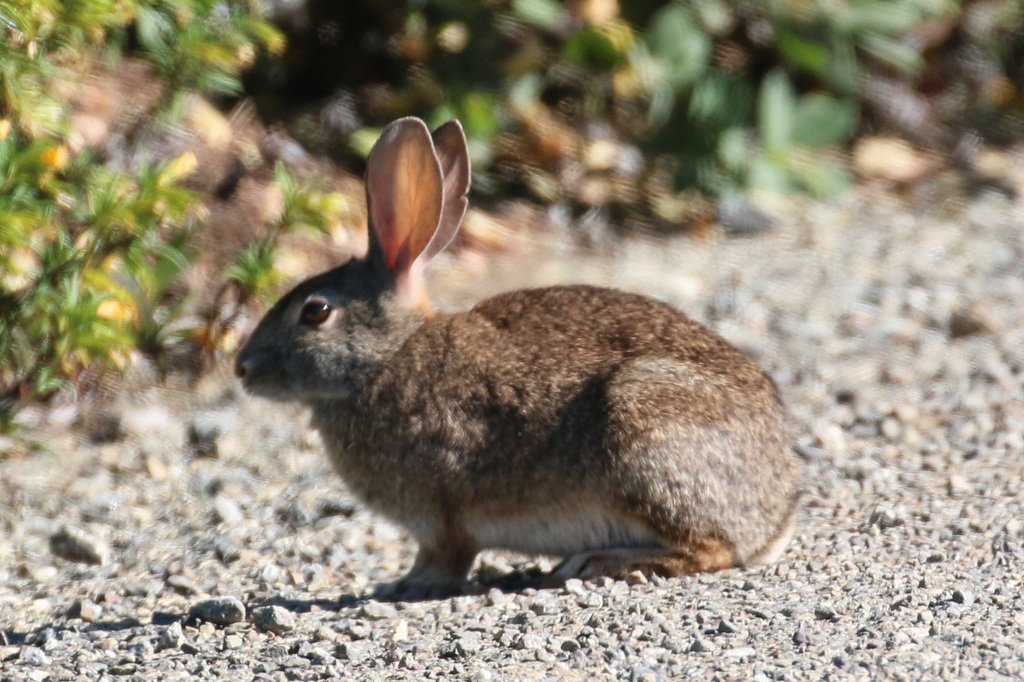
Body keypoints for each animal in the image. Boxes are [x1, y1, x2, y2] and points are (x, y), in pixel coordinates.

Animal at [235, 116, 801, 593]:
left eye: (315, 312)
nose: (242, 369)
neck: (387, 356)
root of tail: (773, 514)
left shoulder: (442, 516)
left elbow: (443, 560)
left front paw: (400, 587)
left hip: (644, 430)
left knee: (711, 550)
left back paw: (601, 562)